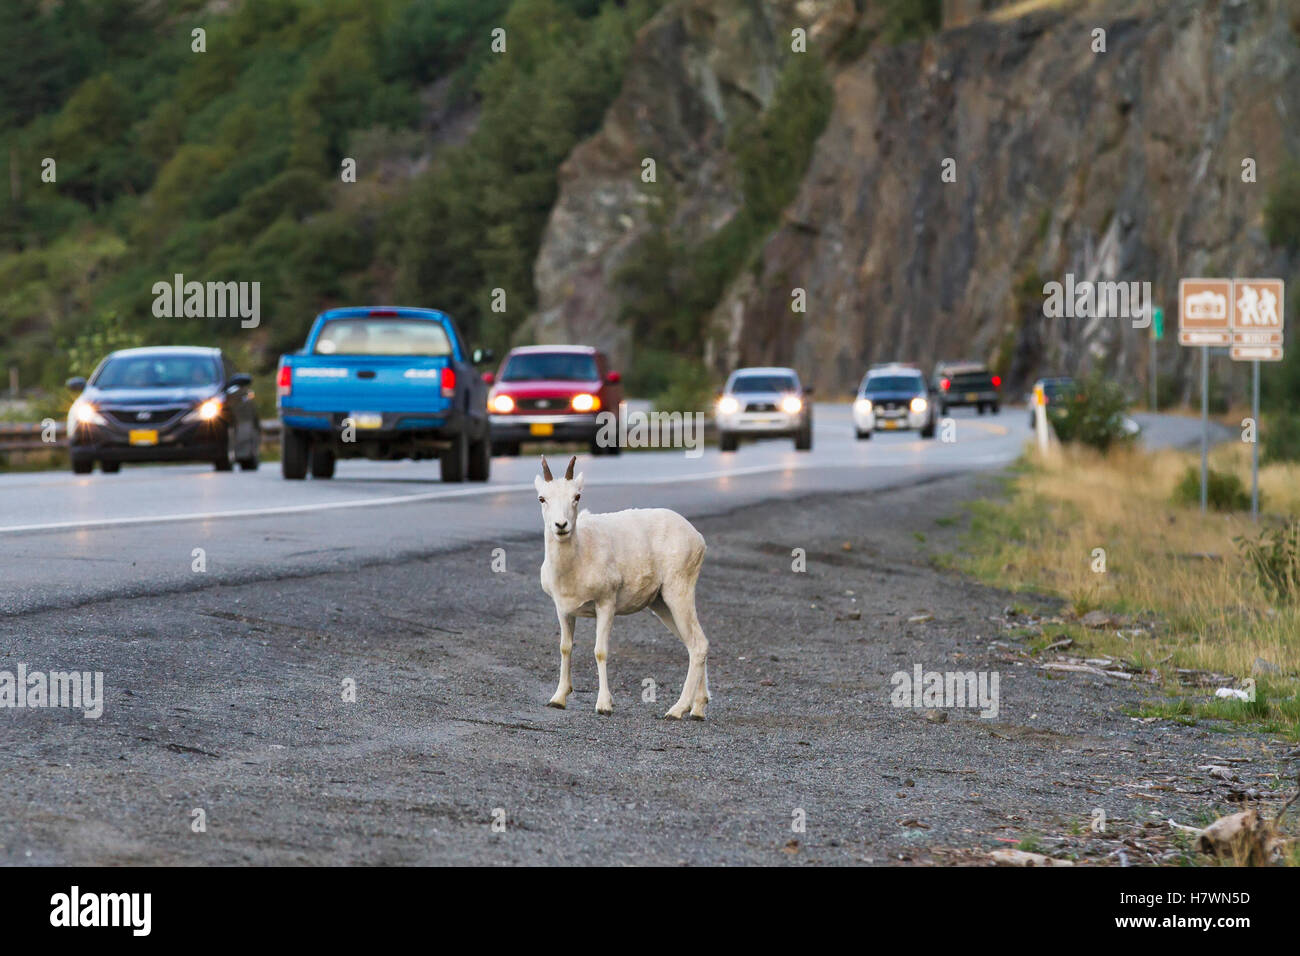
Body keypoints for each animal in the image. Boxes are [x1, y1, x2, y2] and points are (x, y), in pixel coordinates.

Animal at [534, 455, 711, 719]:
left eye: (577, 496)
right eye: (542, 498)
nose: (561, 525)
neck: (578, 560)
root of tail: (698, 538)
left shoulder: (606, 604)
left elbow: (600, 651)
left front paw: (604, 705)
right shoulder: (564, 610)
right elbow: (565, 648)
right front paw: (558, 699)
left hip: (678, 593)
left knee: (698, 645)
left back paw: (677, 711)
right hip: (661, 605)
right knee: (695, 644)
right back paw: (698, 709)